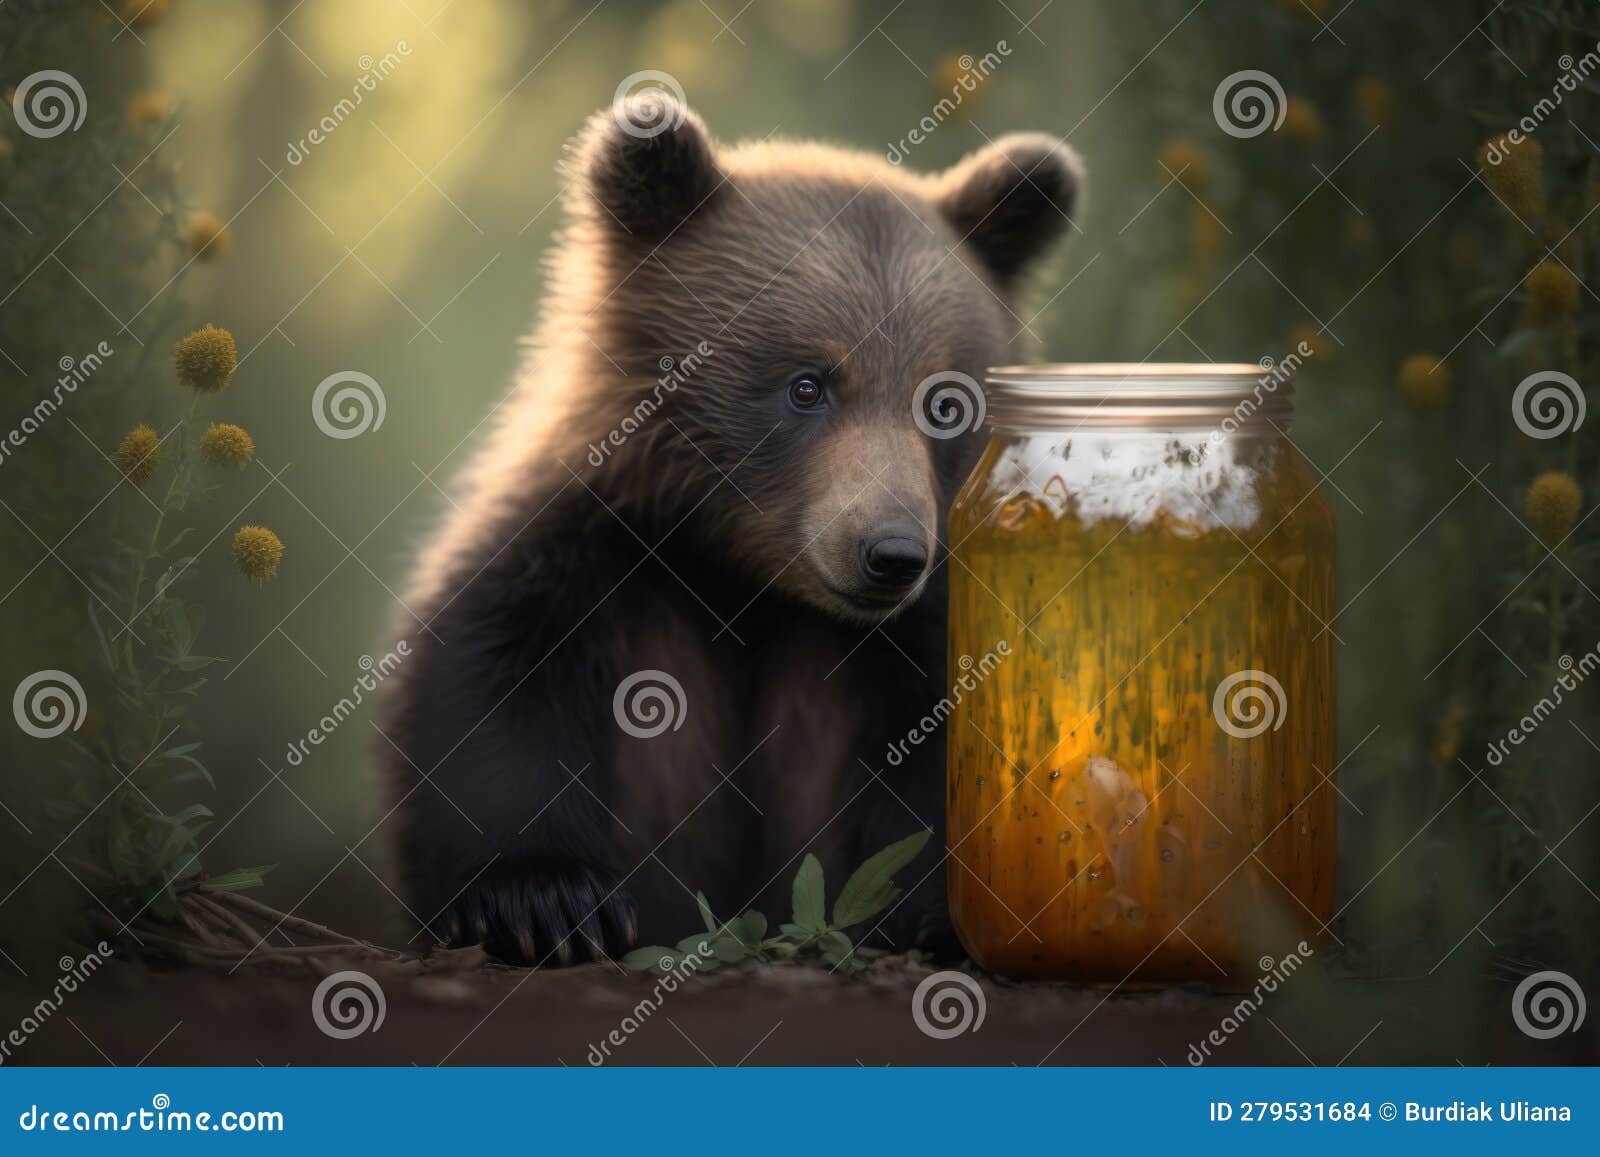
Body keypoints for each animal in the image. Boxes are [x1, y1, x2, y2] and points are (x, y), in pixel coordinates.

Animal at [377, 94, 1082, 967]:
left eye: (944, 400)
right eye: (807, 384)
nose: (889, 552)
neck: (738, 573)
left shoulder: (934, 615)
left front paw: (929, 911)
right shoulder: (586, 553)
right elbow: (491, 693)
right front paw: (547, 900)